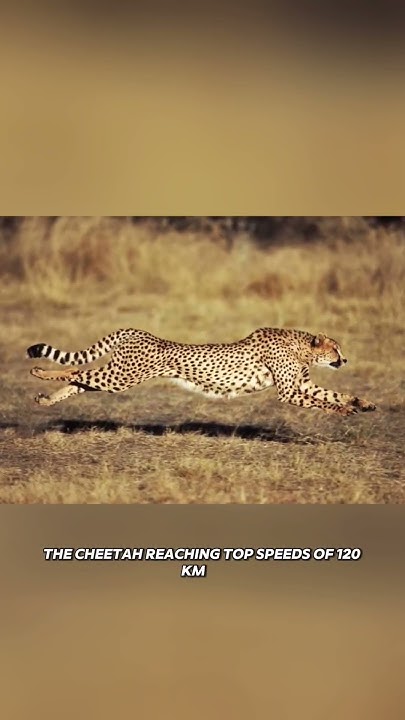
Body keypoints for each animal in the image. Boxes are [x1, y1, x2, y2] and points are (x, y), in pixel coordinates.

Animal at [26, 327, 376, 417]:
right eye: (335, 349)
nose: (345, 360)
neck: (301, 346)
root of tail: (136, 331)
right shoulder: (289, 391)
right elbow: (323, 401)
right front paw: (344, 411)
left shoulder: (301, 385)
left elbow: (333, 393)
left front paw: (363, 403)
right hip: (122, 377)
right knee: (76, 372)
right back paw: (39, 372)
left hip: (117, 376)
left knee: (79, 380)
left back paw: (44, 399)